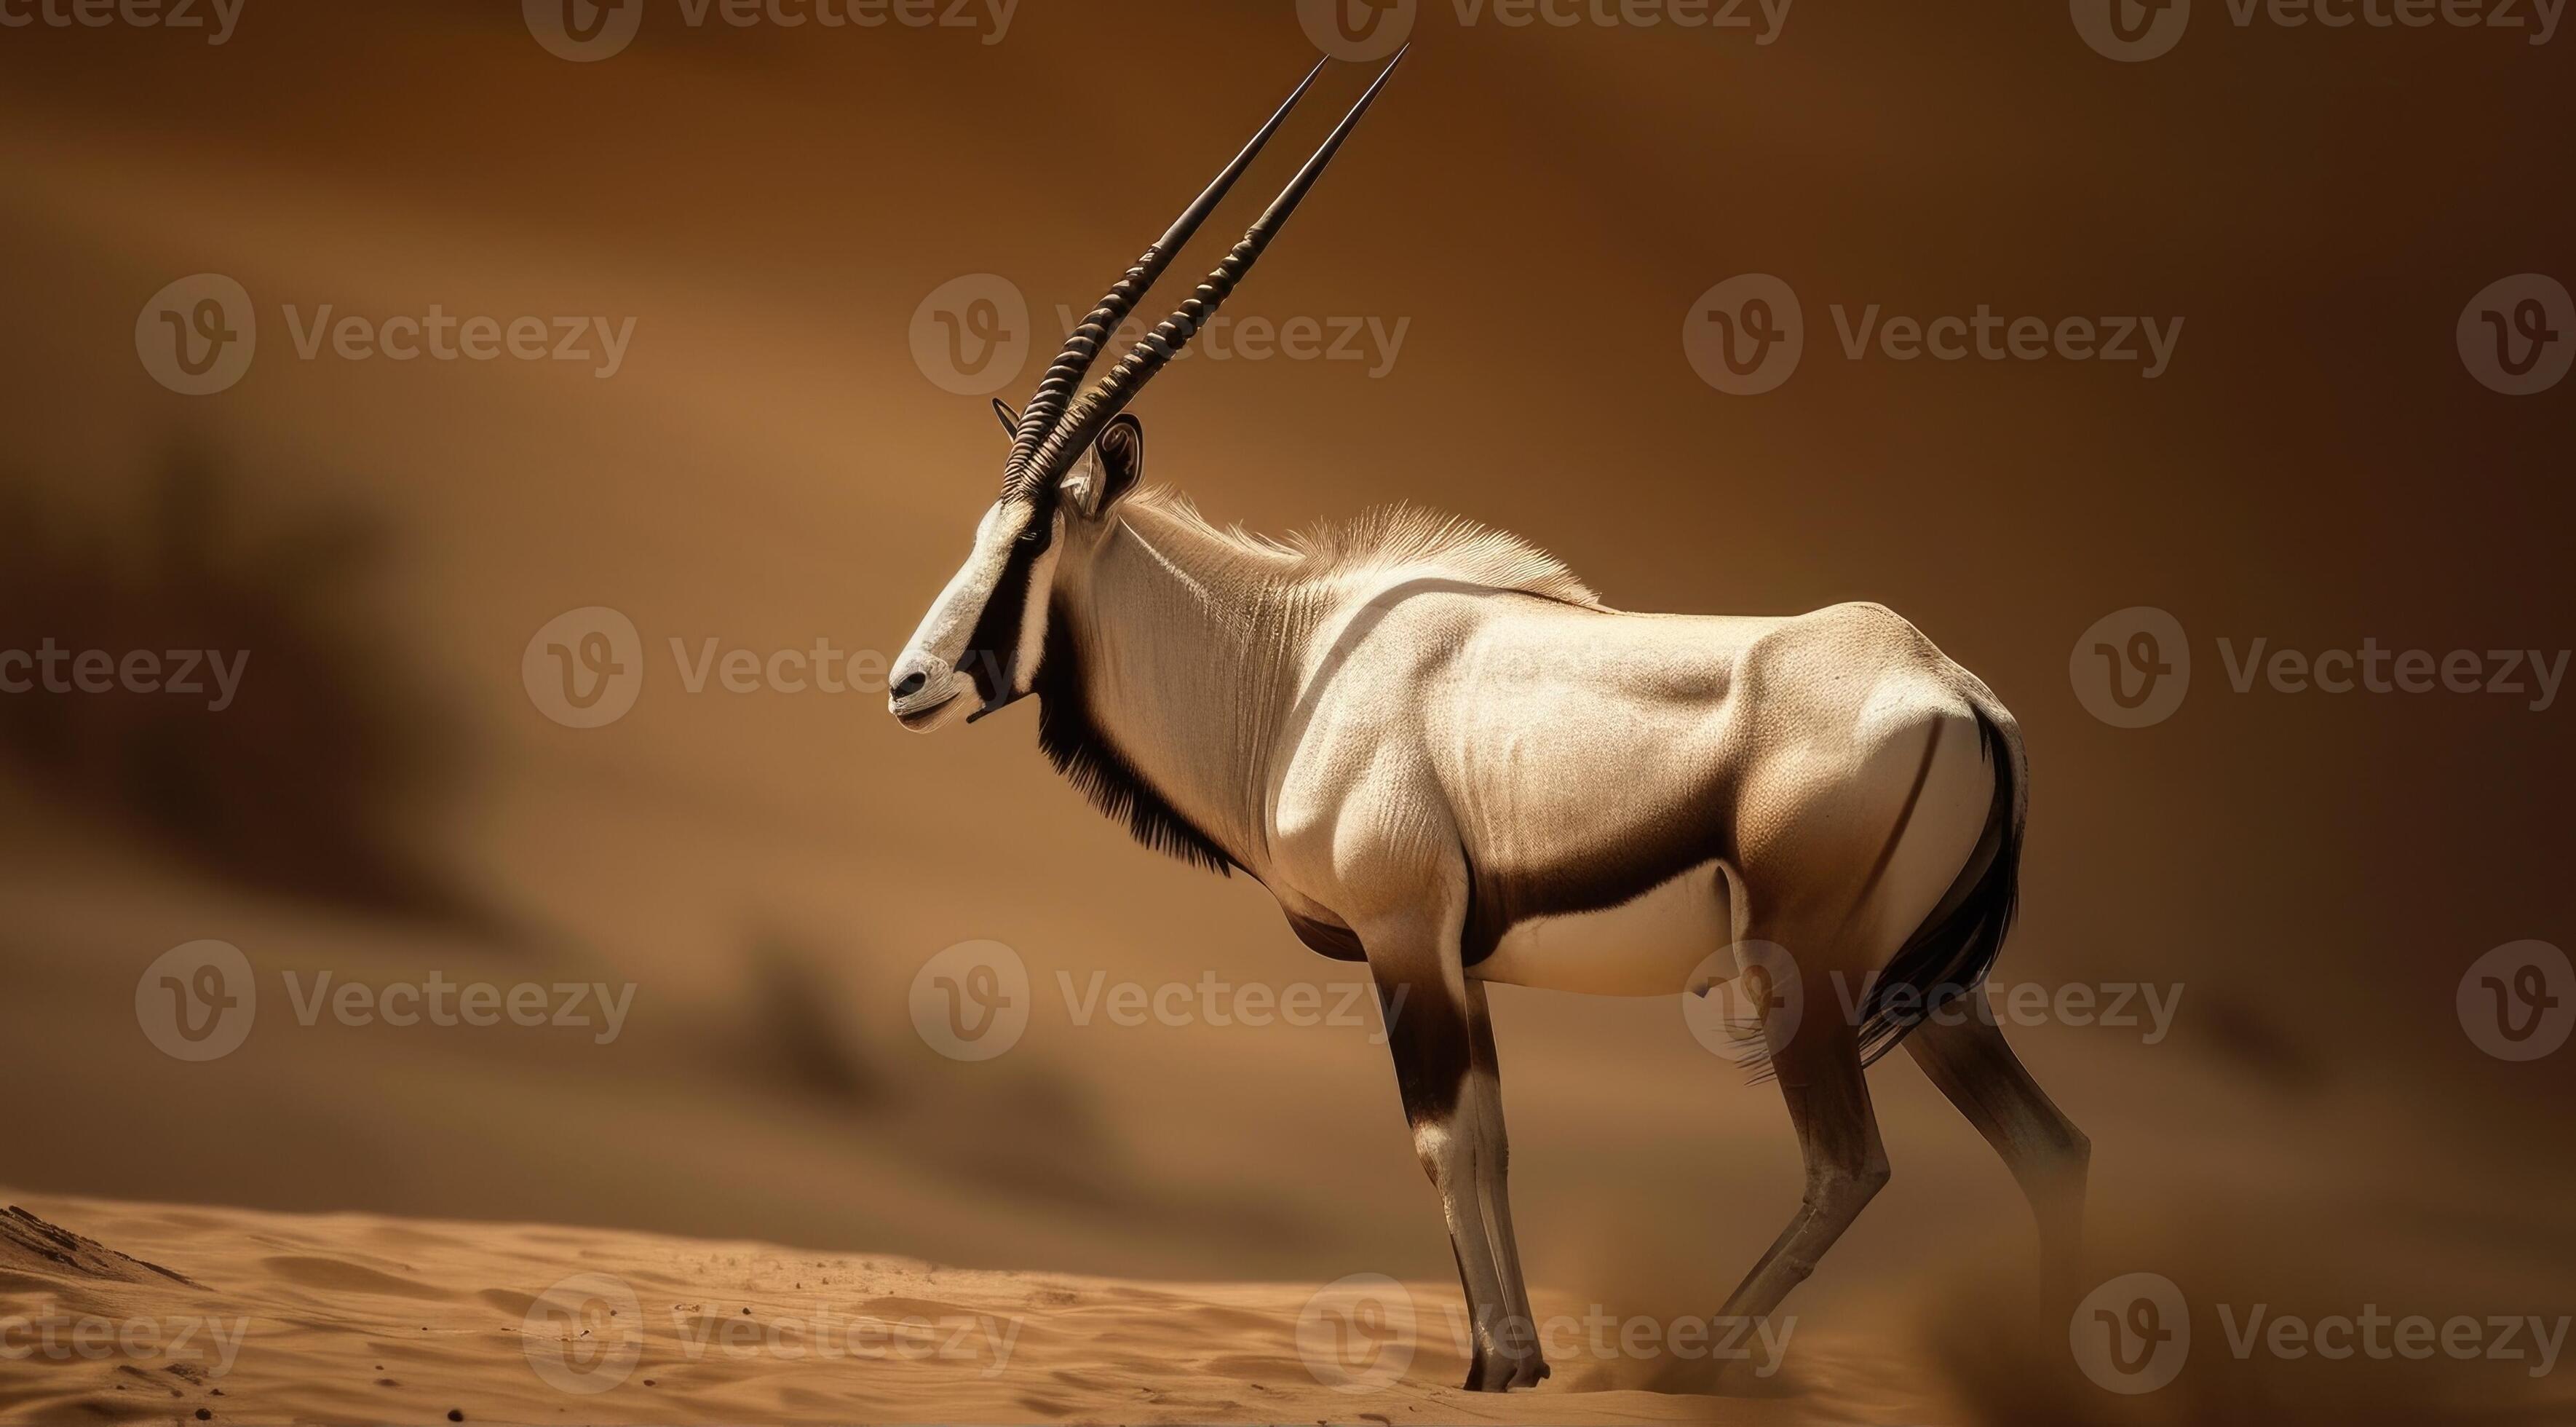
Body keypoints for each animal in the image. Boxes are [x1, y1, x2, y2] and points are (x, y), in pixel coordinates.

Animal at [888, 51, 2089, 1392]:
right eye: (985, 528)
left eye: (1032, 539)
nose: (910, 683)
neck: (1292, 662)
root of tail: (1960, 692)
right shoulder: (1459, 963)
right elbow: (1495, 1138)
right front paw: (1506, 1364)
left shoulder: (1405, 939)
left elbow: (1441, 1140)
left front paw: (1502, 1366)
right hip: (1933, 990)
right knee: (2048, 1149)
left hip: (1807, 969)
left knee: (1847, 1163)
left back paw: (1684, 1367)